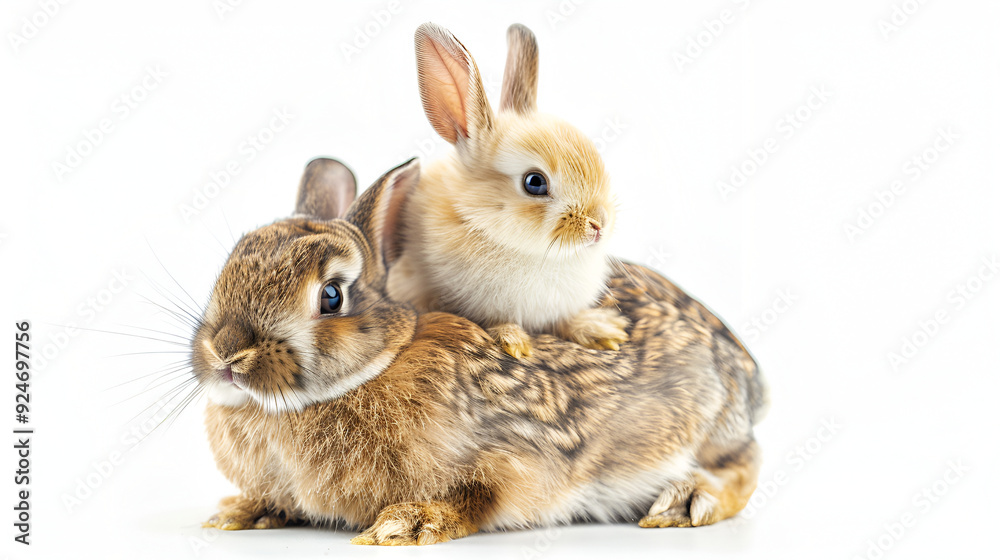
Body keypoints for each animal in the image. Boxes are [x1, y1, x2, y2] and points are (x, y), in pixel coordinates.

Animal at [194, 157, 769, 545]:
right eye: (226, 269)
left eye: (331, 296)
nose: (226, 353)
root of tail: (746, 372)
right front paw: (238, 513)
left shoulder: (518, 454)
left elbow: (480, 497)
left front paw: (409, 523)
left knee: (744, 465)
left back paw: (687, 502)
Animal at [385, 23, 628, 359]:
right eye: (535, 182)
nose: (599, 225)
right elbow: (492, 321)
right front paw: (515, 343)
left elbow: (566, 320)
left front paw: (603, 331)